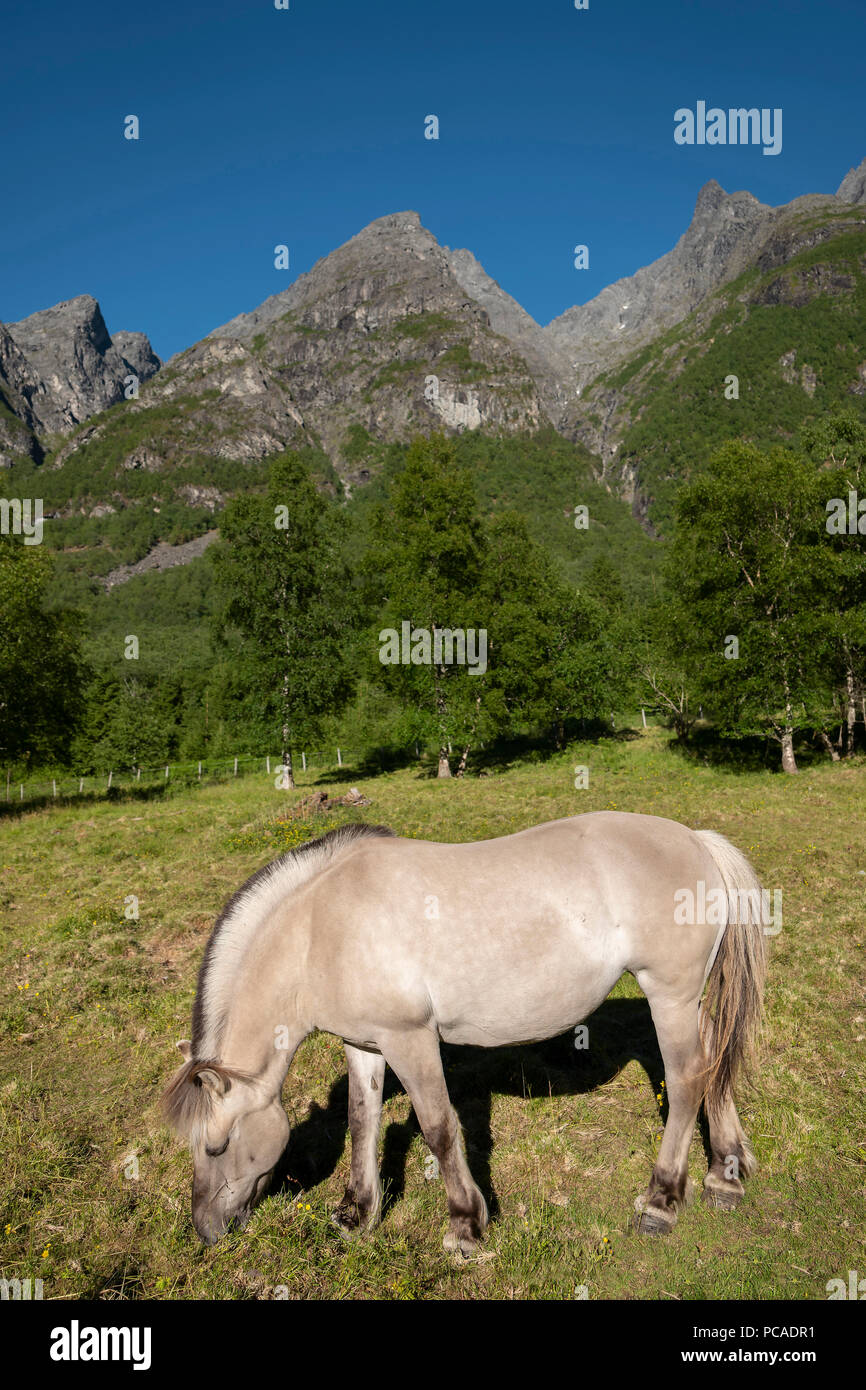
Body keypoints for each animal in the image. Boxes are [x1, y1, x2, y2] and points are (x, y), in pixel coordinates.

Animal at [162, 813, 768, 1252]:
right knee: (714, 1065)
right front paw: (357, 1214)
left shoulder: (410, 1040)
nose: (206, 1230)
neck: (320, 929)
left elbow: (439, 1128)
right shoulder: (363, 1044)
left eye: (217, 1145)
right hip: (690, 1003)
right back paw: (726, 1175)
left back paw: (661, 1201)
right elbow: (362, 1121)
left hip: (670, 997)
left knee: (687, 1080)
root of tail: (697, 840)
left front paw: (464, 1227)